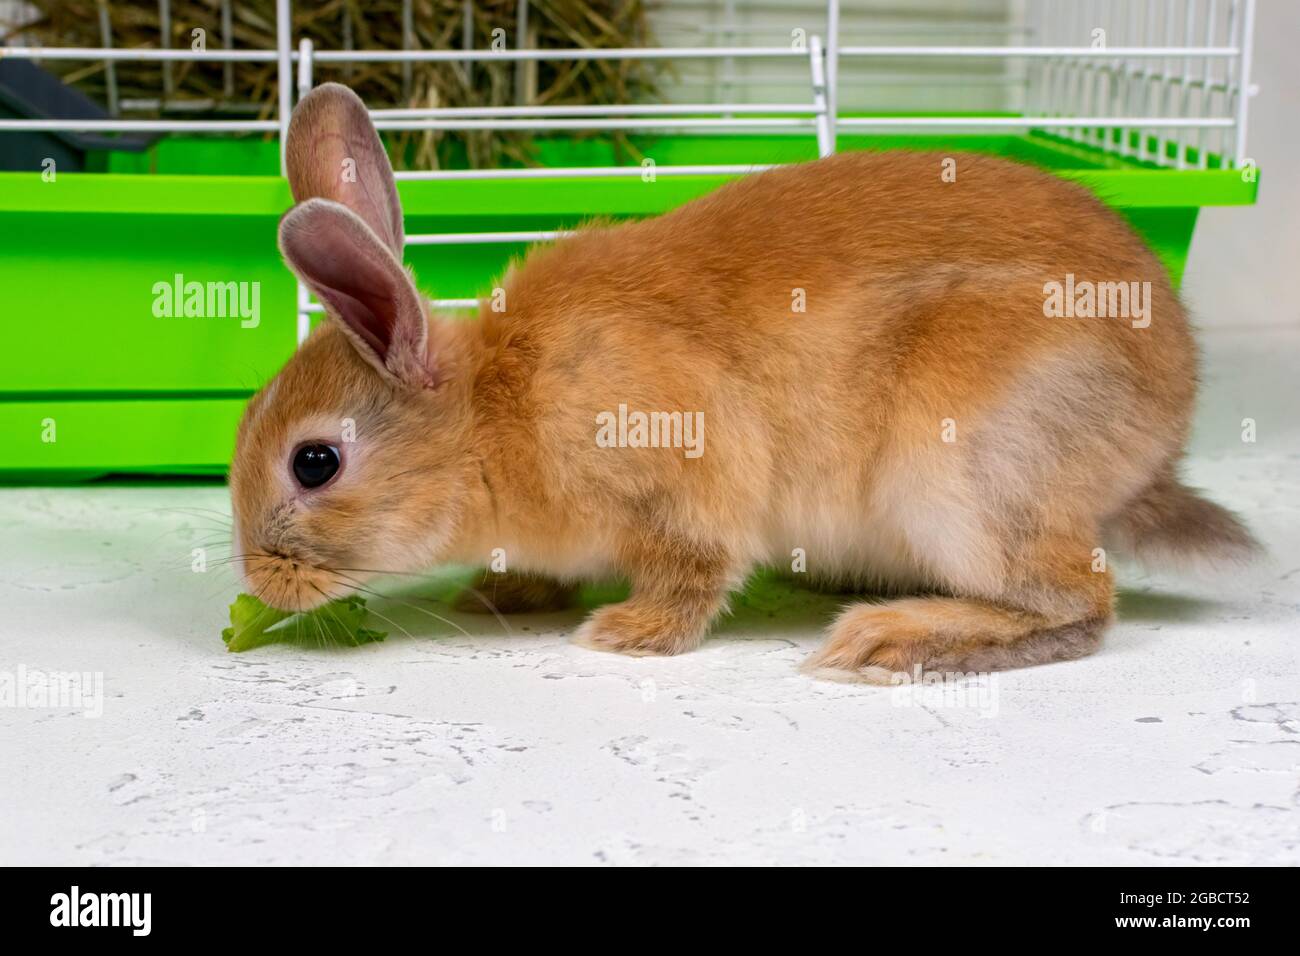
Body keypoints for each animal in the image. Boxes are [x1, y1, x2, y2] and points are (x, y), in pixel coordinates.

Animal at [230, 83, 1259, 683]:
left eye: (314, 463)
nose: (261, 582)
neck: (490, 414)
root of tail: (1159, 442)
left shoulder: (683, 478)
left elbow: (693, 574)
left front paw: (624, 633)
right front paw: (498, 595)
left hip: (963, 477)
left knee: (1080, 605)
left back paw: (885, 642)